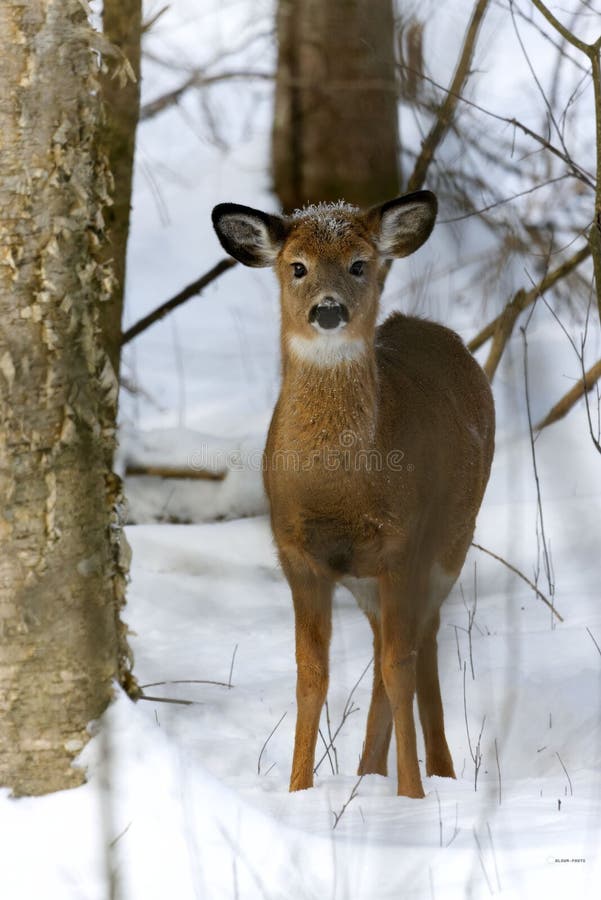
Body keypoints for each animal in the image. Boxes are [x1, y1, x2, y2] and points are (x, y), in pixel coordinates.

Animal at [212, 190, 494, 798]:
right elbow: (311, 674)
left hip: (451, 539)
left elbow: (399, 667)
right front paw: (299, 790)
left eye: (359, 265)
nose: (328, 310)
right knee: (384, 645)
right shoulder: (296, 554)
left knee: (422, 643)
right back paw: (367, 770)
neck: (337, 489)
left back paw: (439, 771)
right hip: (370, 580)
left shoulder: (402, 545)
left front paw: (411, 796)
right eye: (297, 267)